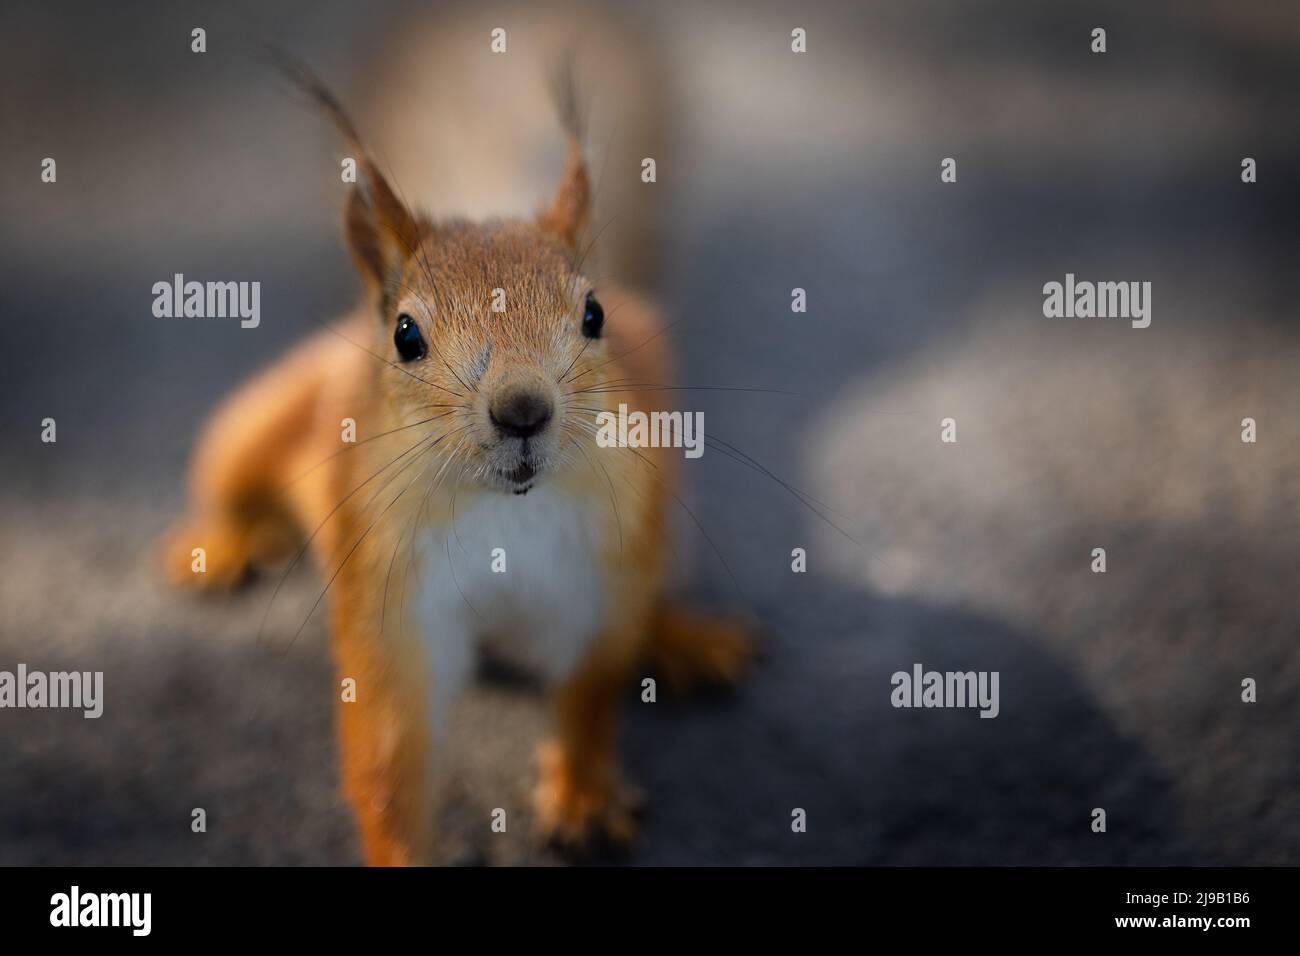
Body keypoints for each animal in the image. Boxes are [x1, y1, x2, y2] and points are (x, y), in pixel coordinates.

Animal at [160, 58, 752, 863]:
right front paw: (402, 852)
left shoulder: (602, 573)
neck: (501, 512)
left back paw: (685, 635)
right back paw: (221, 543)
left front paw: (584, 793)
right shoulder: (387, 592)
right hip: (261, 420)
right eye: (407, 335)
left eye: (594, 314)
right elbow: (388, 744)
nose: (523, 411)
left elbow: (592, 689)